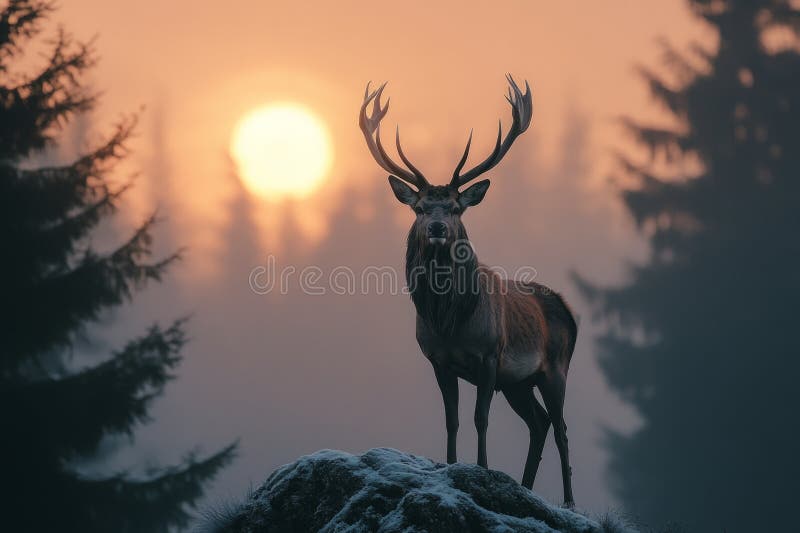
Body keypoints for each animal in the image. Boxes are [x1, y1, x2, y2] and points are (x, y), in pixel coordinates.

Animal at [359, 75, 578, 507]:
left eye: (457, 208)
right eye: (420, 207)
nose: (437, 228)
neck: (450, 322)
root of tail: (569, 311)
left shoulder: (490, 356)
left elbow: (480, 418)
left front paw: (483, 468)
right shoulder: (439, 360)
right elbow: (453, 419)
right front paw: (450, 465)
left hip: (556, 367)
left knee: (561, 428)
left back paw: (568, 500)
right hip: (519, 383)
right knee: (539, 423)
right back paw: (526, 487)